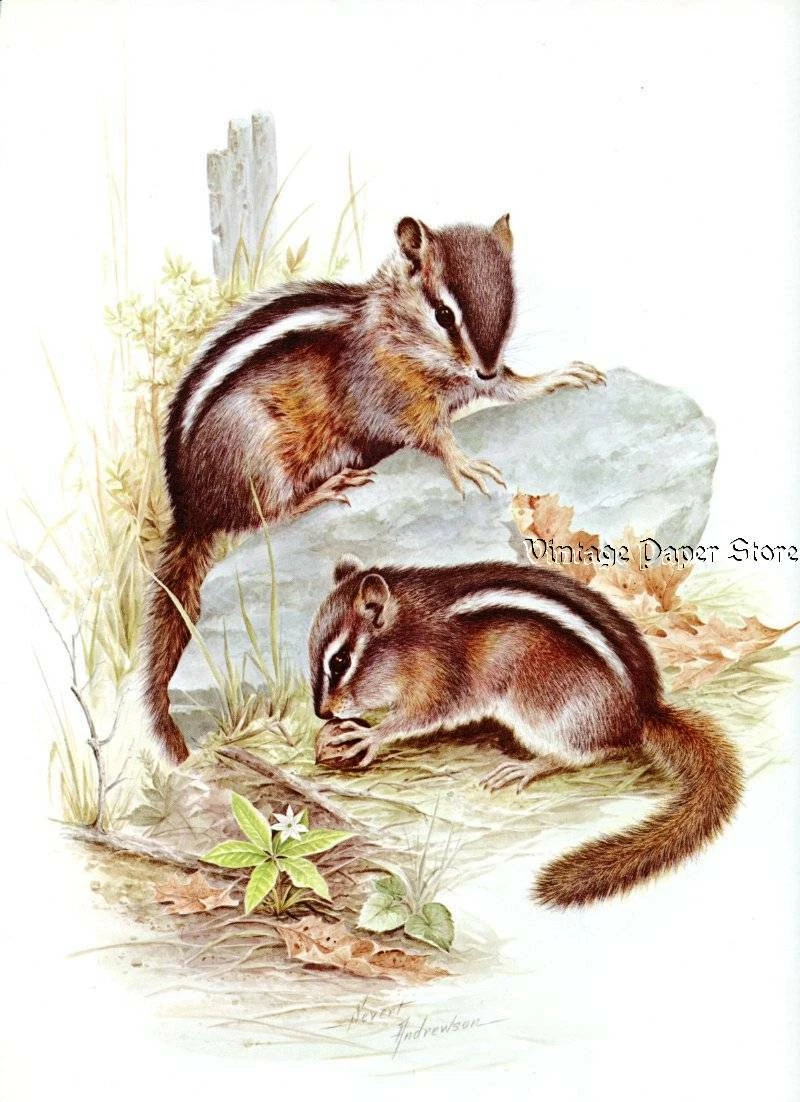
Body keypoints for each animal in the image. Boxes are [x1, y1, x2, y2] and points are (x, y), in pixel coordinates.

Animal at [143, 213, 604, 763]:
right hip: (258, 451)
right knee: (267, 514)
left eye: (510, 304)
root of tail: (189, 512)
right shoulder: (386, 396)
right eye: (444, 314)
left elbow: (511, 386)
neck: (399, 331)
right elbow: (427, 433)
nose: (485, 365)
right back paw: (324, 487)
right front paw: (463, 461)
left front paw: (556, 376)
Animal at [310, 556, 744, 908]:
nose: (320, 712)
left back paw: (527, 767)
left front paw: (368, 737)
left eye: (341, 660)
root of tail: (642, 712)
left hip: (545, 707)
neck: (408, 631)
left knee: (588, 753)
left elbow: (416, 717)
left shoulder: (438, 679)